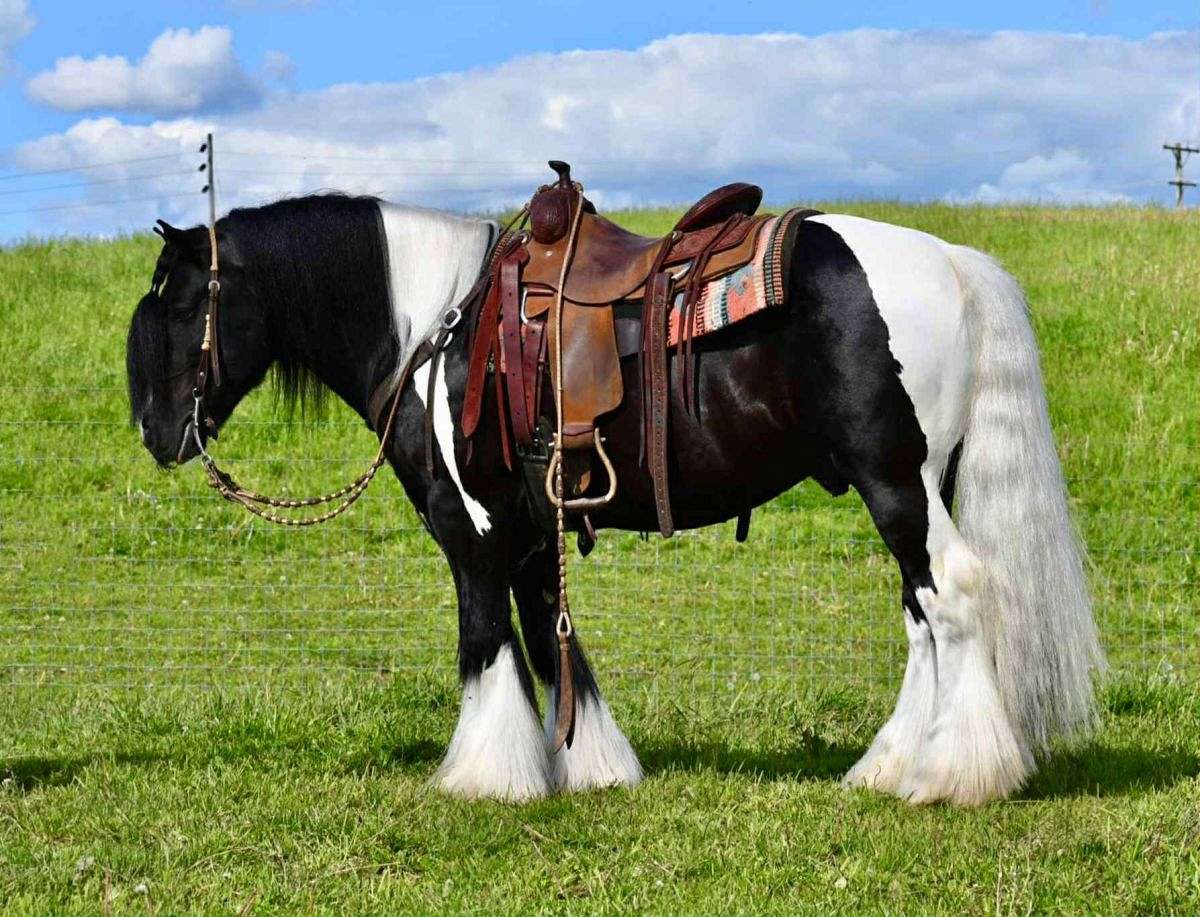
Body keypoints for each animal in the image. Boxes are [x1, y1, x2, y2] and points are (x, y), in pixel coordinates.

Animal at [126, 192, 1103, 805]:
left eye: (178, 299)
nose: (155, 429)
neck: (436, 329)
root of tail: (949, 262)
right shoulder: (529, 526)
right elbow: (551, 636)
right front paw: (585, 765)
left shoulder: (468, 524)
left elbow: (485, 638)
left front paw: (486, 776)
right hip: (915, 484)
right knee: (921, 611)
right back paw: (892, 765)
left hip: (895, 480)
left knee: (955, 595)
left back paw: (955, 776)